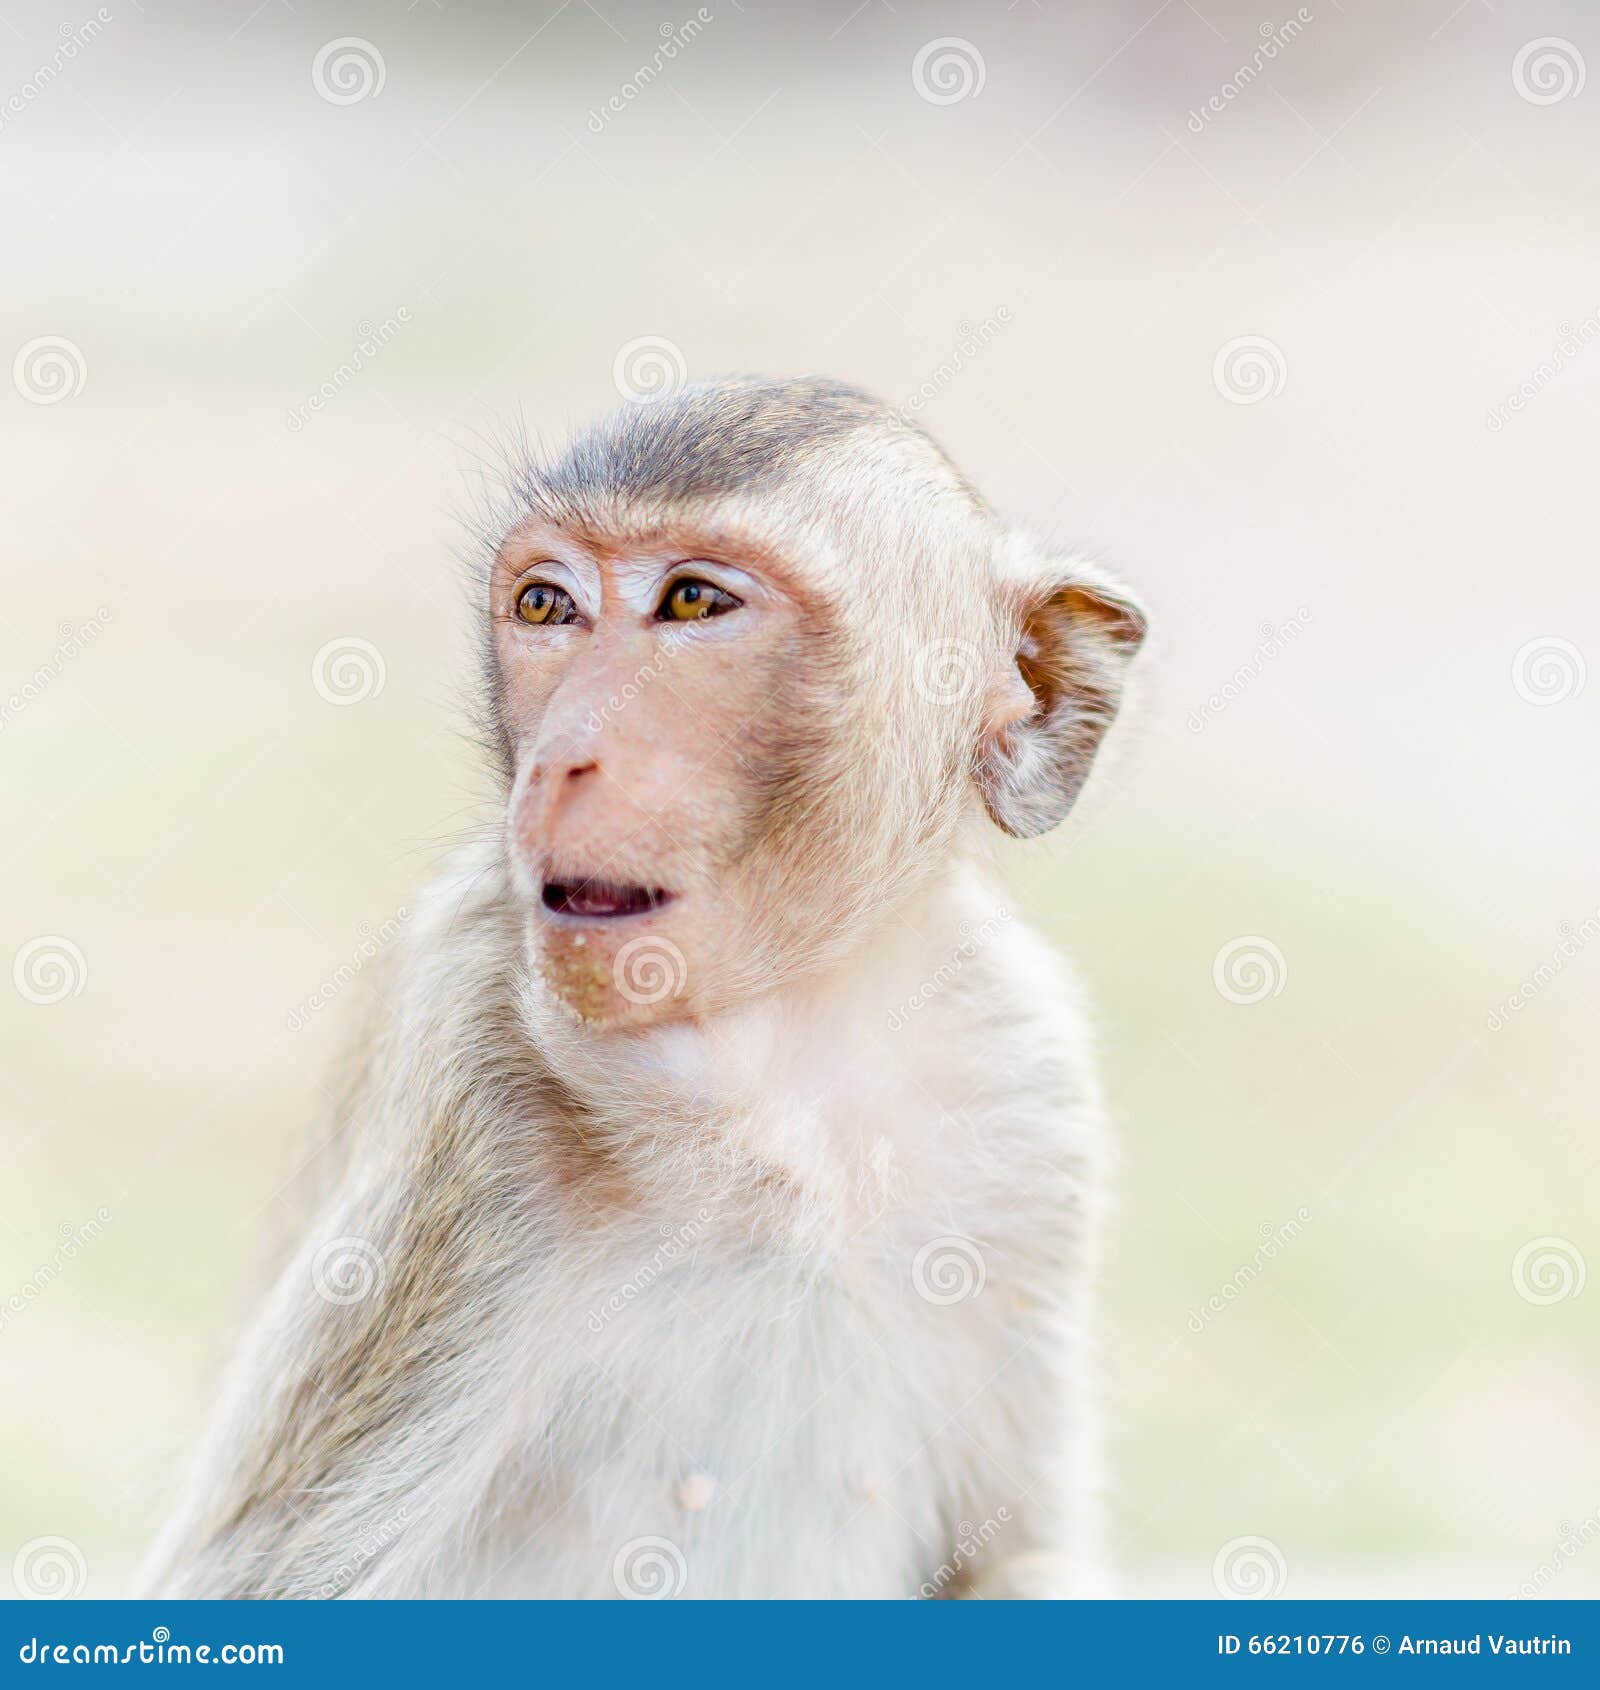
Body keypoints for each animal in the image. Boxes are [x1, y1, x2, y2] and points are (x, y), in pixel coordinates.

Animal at [140, 375, 1146, 1600]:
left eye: (693, 602)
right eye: (544, 605)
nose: (560, 757)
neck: (779, 1080)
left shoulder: (1027, 1090)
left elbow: (1012, 1554)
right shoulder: (467, 1066)